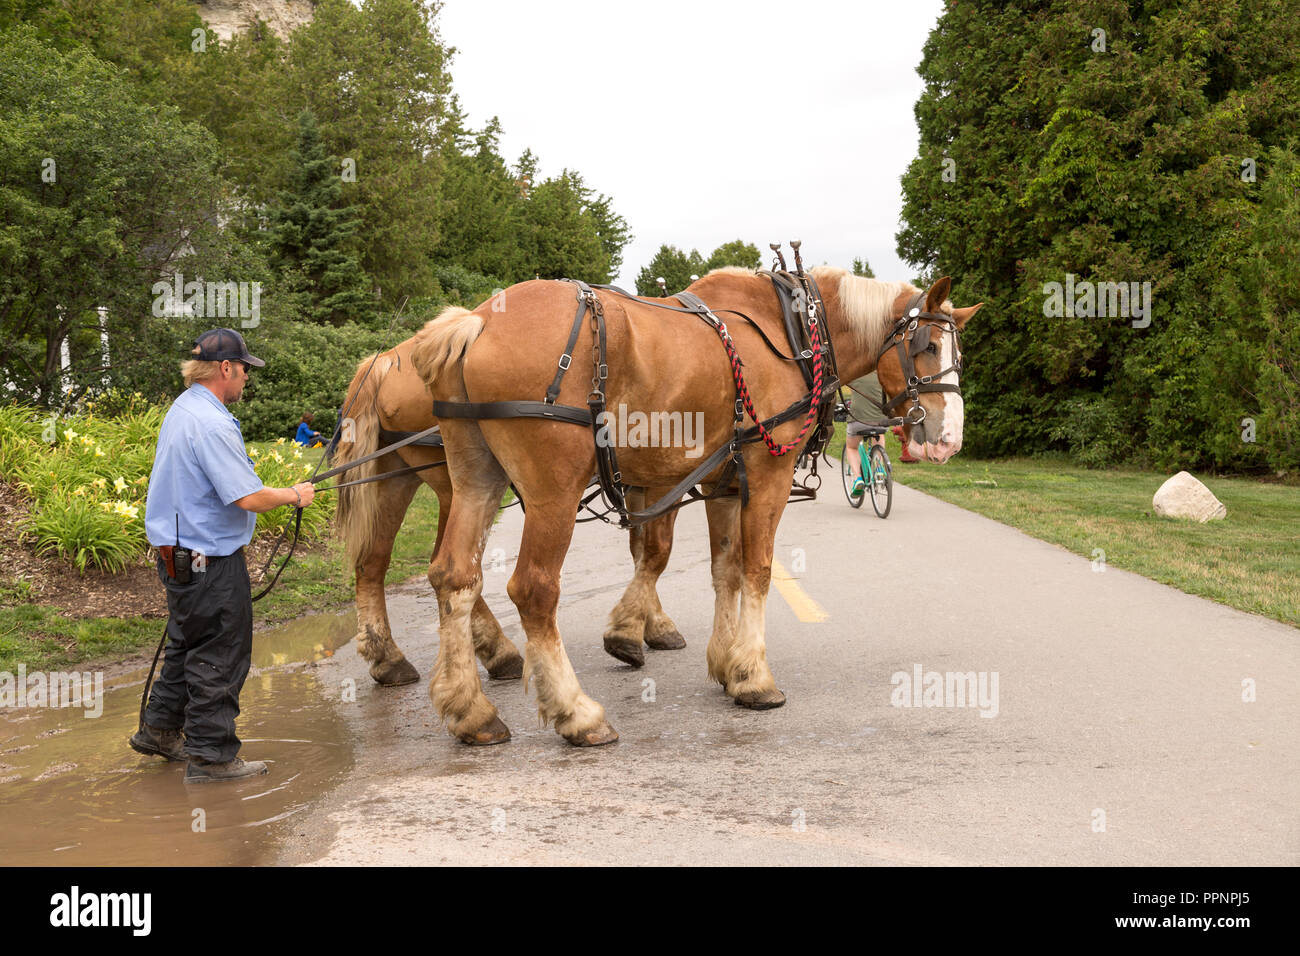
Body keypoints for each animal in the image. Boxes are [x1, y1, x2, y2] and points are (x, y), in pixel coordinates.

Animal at [330, 339, 692, 688]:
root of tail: (385, 360)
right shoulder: (663, 480)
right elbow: (655, 551)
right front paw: (645, 629)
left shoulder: (640, 484)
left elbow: (639, 551)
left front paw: (645, 623)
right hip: (457, 486)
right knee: (450, 568)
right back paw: (497, 651)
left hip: (397, 477)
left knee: (373, 562)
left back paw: (388, 658)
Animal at [407, 266, 981, 747]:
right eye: (927, 345)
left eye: (958, 356)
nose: (949, 439)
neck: (794, 334)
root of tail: (478, 320)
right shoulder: (767, 476)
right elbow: (757, 569)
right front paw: (755, 677)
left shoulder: (724, 483)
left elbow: (724, 568)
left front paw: (727, 666)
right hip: (554, 490)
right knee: (533, 589)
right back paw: (577, 713)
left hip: (476, 476)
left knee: (455, 576)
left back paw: (470, 712)